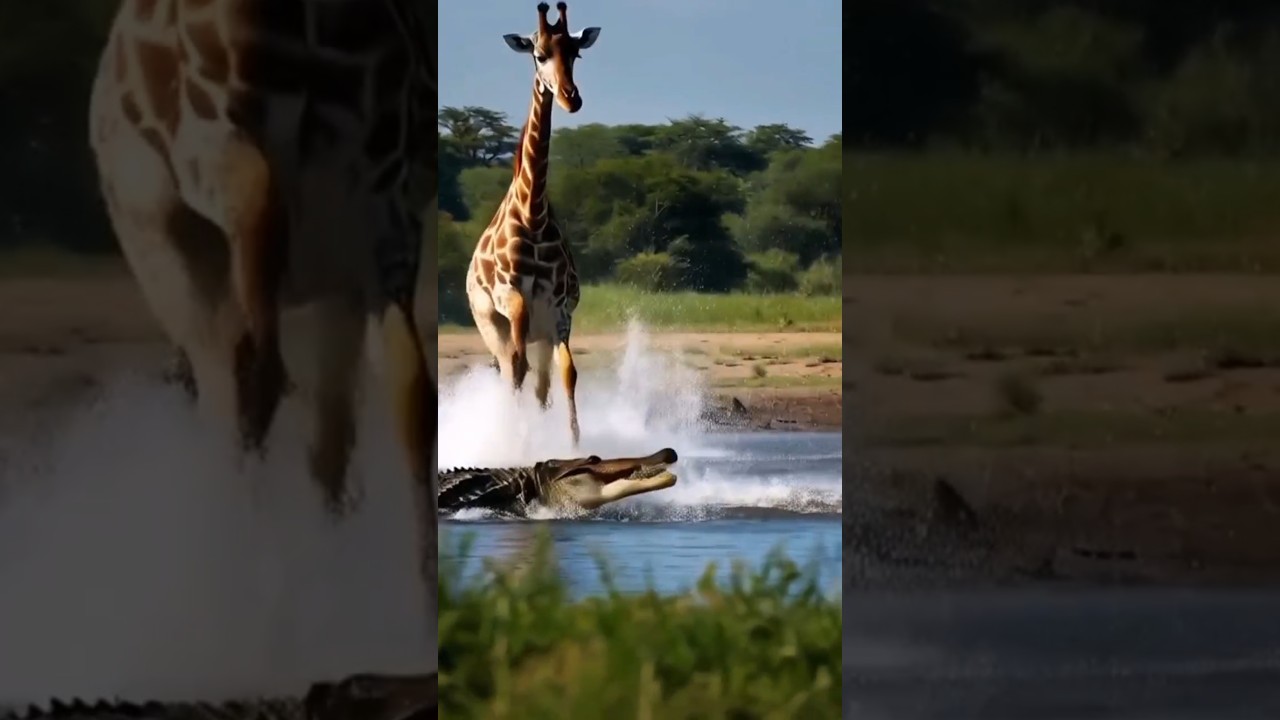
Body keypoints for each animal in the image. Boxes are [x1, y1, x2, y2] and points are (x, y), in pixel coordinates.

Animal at [87, 0, 437, 695]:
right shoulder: (342, 265)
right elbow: (335, 435)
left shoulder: (170, 230)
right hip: (361, 218)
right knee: (388, 396)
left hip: (228, 184)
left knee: (257, 378)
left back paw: (255, 631)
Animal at [466, 2, 601, 449]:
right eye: (539, 55)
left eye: (575, 53)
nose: (571, 99)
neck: (534, 215)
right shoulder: (514, 300)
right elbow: (517, 367)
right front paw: (519, 442)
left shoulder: (559, 313)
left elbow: (569, 374)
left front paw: (575, 446)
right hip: (490, 323)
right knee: (510, 369)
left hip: (540, 332)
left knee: (538, 384)